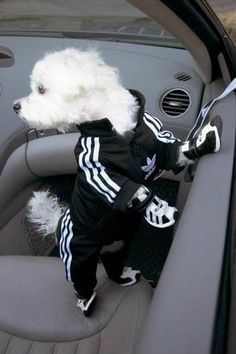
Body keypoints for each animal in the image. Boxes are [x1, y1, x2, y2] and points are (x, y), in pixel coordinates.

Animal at [13, 47, 222, 316]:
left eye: (40, 89)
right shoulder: (99, 170)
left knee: (112, 269)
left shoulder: (158, 146)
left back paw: (123, 277)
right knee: (82, 279)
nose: (15, 106)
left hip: (118, 248)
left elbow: (175, 151)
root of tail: (59, 223)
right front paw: (158, 210)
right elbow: (133, 190)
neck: (120, 131)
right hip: (78, 256)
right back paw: (86, 302)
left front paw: (202, 143)